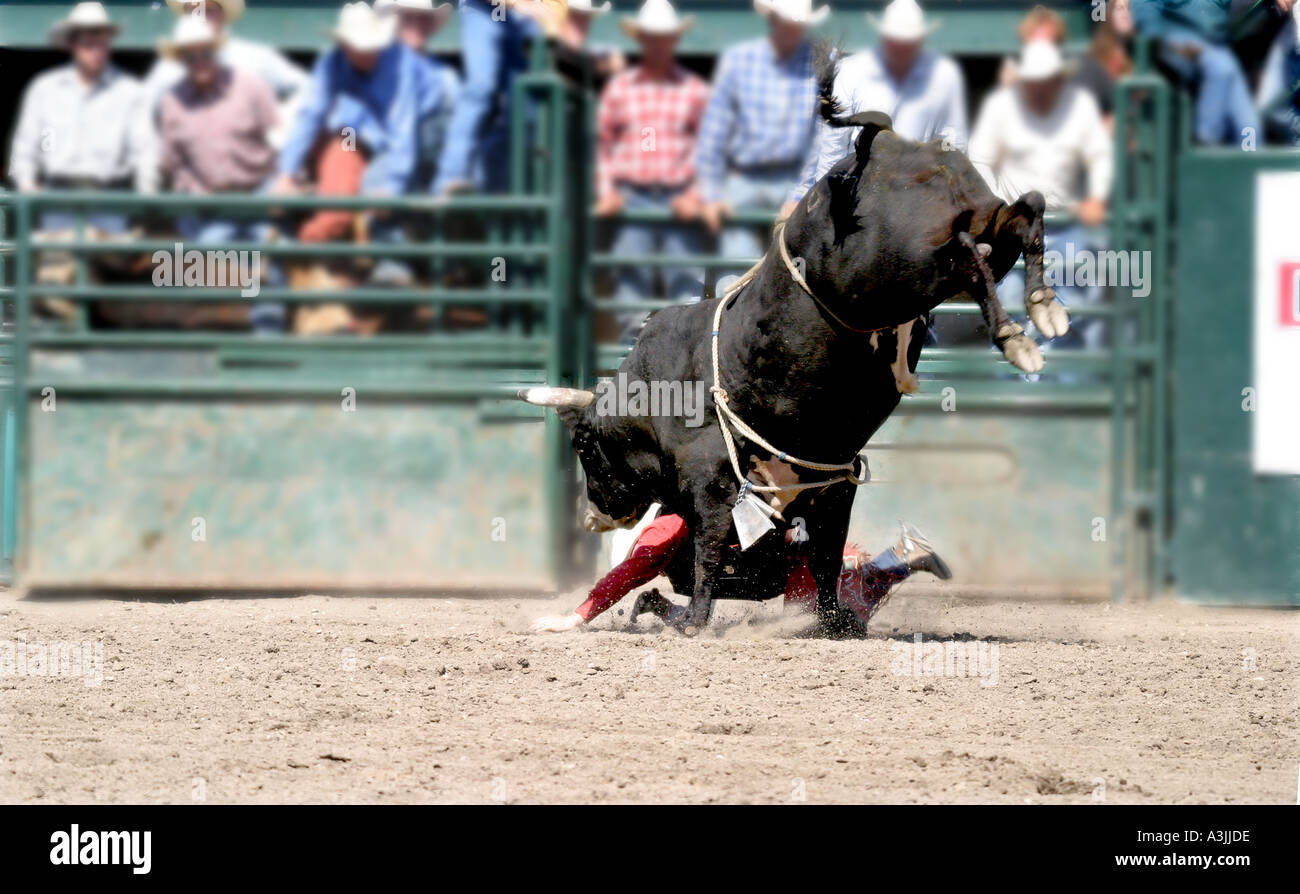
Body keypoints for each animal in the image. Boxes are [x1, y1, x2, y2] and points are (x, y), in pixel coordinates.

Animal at [520, 47, 1069, 635]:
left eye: (583, 447)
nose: (590, 516)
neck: (653, 394)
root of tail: (878, 146)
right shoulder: (833, 484)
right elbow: (825, 556)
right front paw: (831, 620)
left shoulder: (710, 480)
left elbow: (710, 547)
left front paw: (693, 620)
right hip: (977, 224)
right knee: (1021, 212)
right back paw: (1043, 309)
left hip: (907, 266)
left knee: (967, 252)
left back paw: (1018, 335)